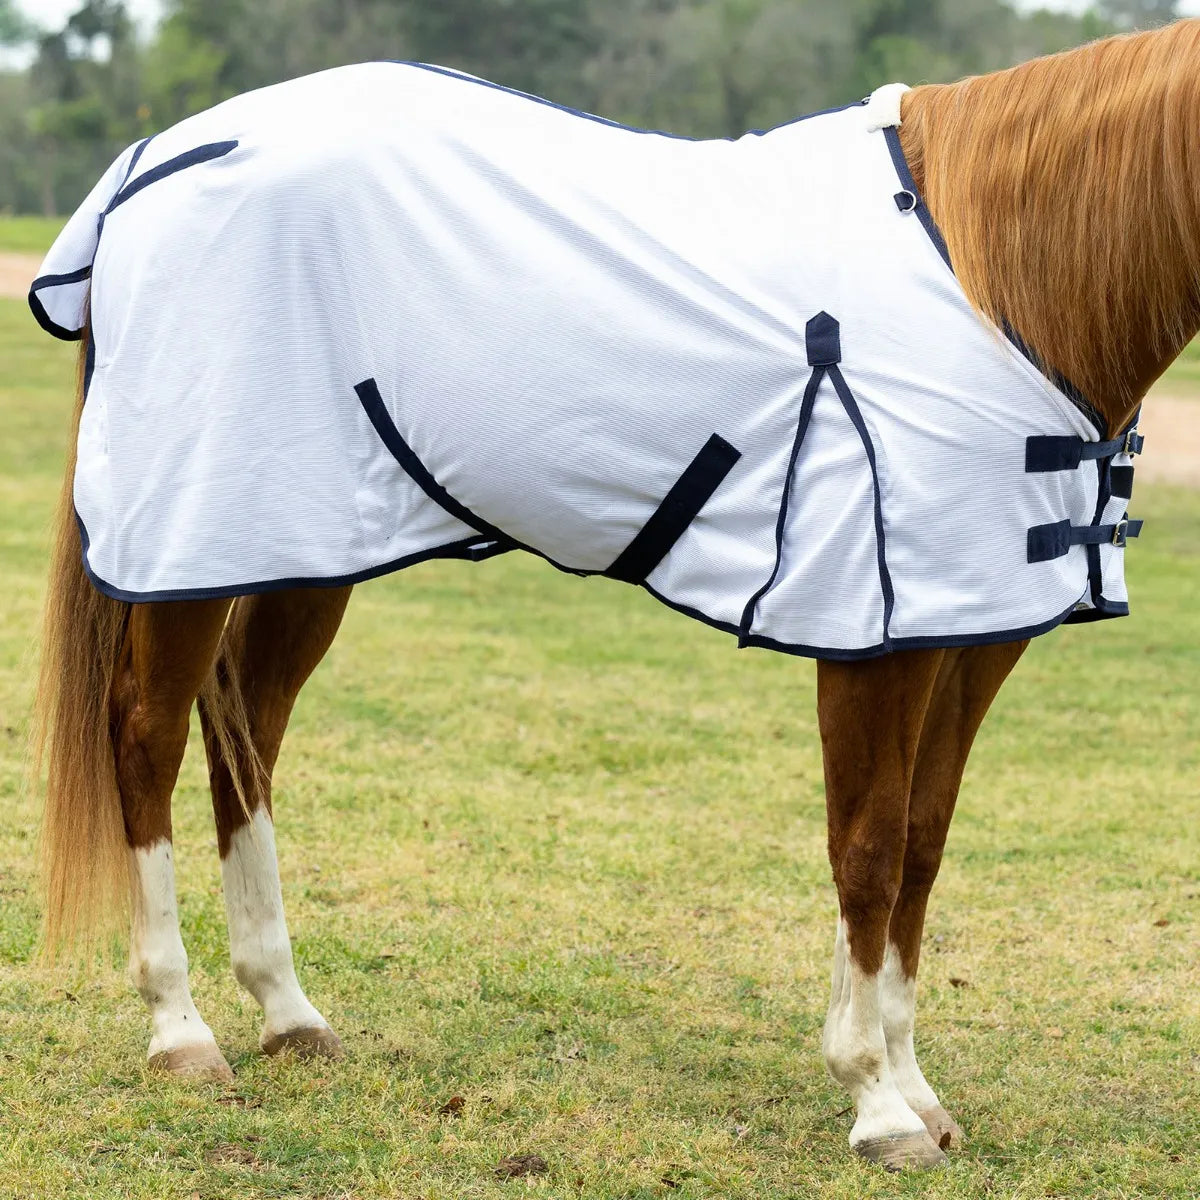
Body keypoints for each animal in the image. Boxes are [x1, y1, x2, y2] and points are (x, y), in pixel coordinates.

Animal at [31, 20, 1198, 1171]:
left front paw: (915, 1088)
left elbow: (921, 845)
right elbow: (866, 852)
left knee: (248, 732)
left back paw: (288, 1011)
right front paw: (876, 1102)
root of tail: (155, 161)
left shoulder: (972, 632)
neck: (1002, 277)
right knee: (147, 733)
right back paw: (181, 1031)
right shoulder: (875, 642)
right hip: (189, 537)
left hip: (302, 540)